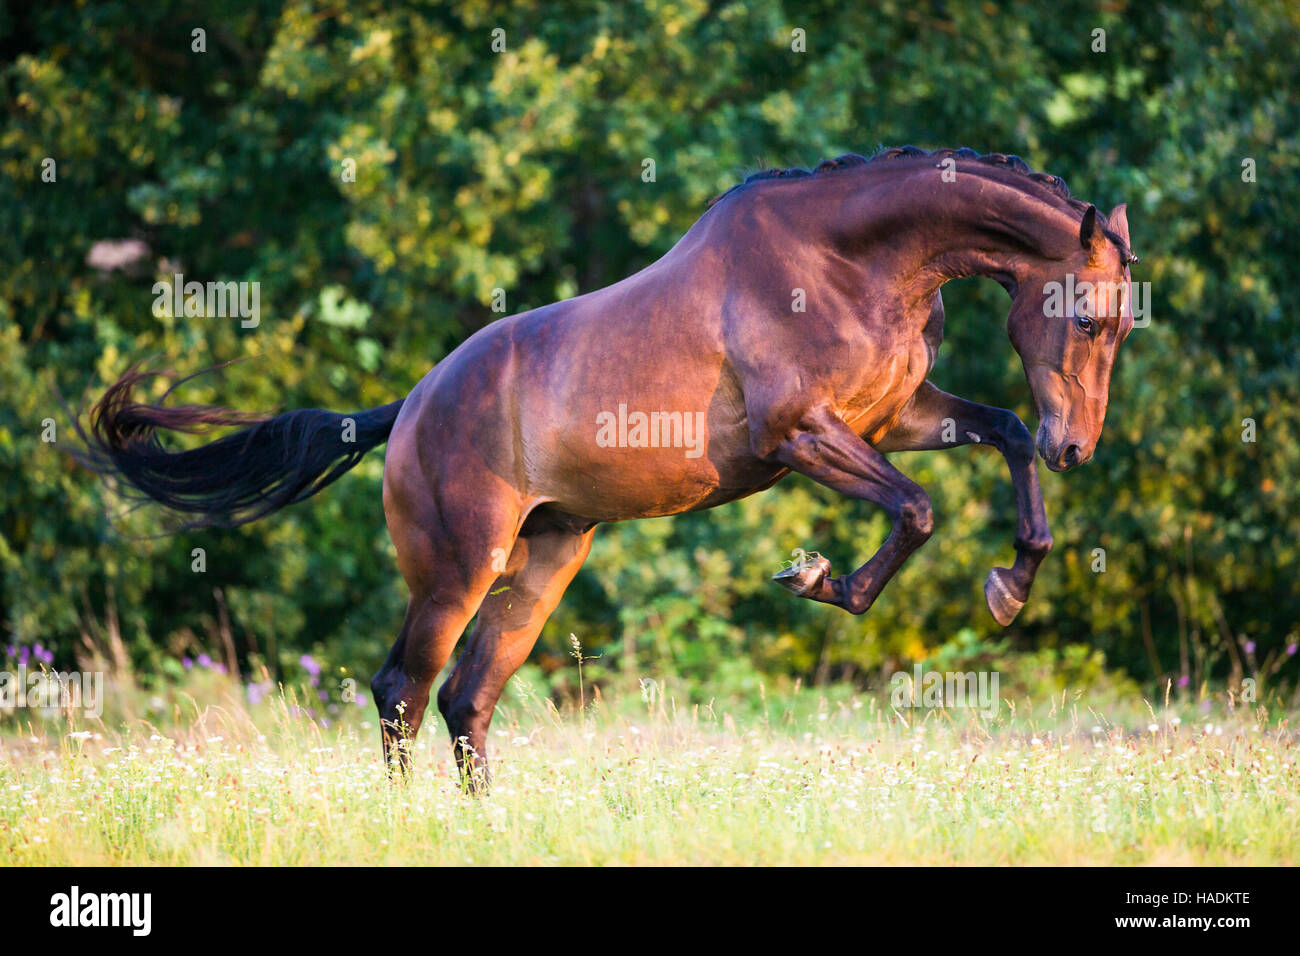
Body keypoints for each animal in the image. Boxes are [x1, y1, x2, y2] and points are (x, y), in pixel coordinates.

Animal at [75, 146, 1138, 788]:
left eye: (1126, 325)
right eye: (1087, 318)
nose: (1077, 447)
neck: (850, 260)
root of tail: (409, 408)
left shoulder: (900, 415)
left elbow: (1001, 433)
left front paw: (1010, 584)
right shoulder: (801, 435)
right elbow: (915, 510)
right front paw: (821, 579)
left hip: (545, 561)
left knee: (466, 698)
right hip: (458, 569)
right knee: (401, 690)